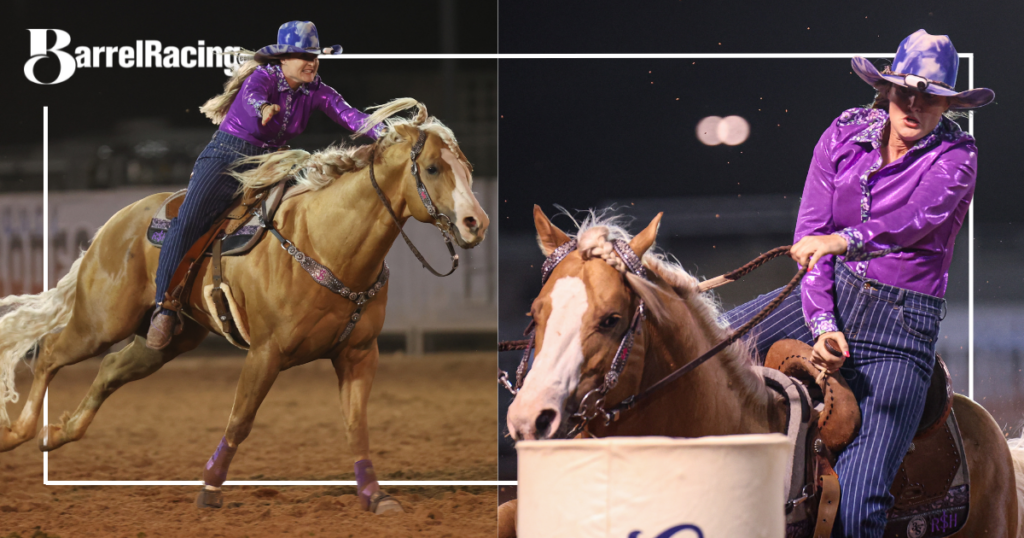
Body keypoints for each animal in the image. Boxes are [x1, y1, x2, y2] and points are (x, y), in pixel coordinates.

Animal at [0, 99, 490, 513]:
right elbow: (240, 420)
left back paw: (58, 433)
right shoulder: (266, 352)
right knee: (49, 353)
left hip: (168, 337)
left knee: (110, 369)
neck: (326, 242)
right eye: (432, 168)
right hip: (101, 322)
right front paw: (210, 488)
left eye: (467, 168)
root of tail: (113, 225)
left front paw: (375, 495)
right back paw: (19, 433)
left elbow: (357, 426)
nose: (476, 223)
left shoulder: (358, 354)